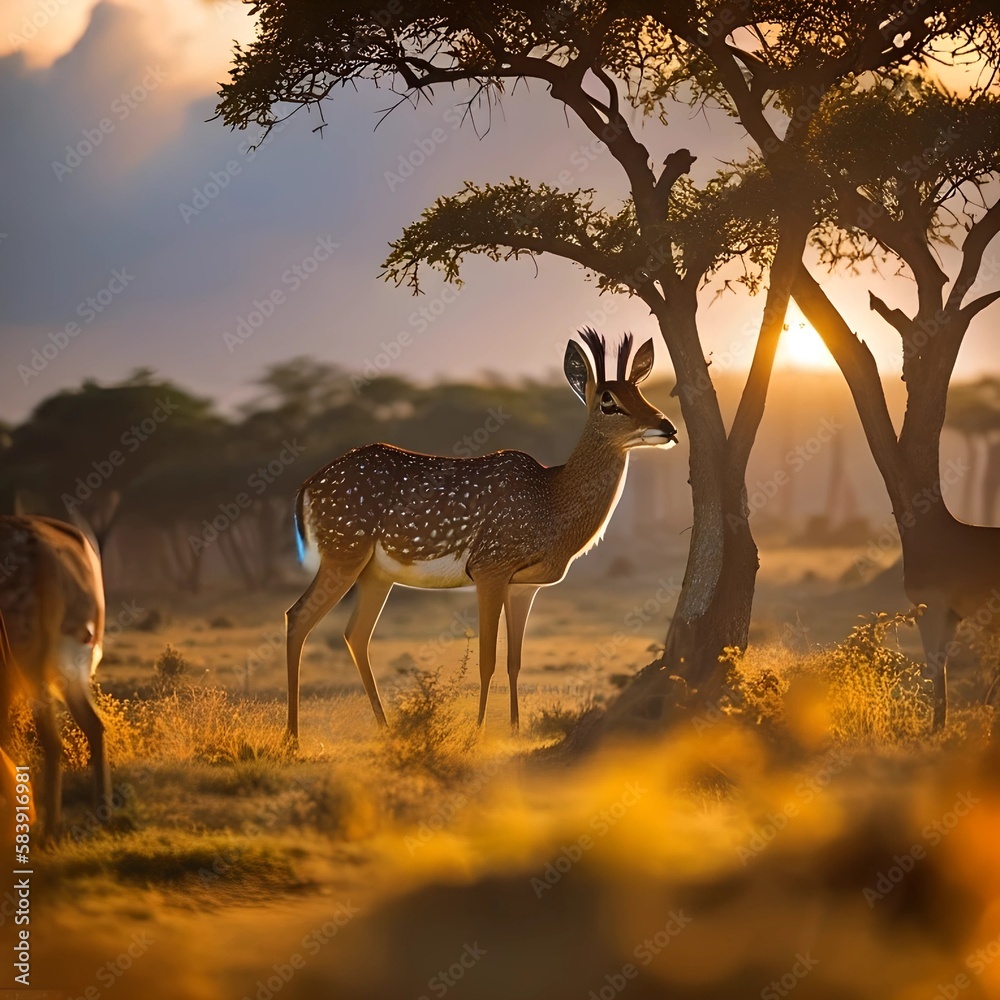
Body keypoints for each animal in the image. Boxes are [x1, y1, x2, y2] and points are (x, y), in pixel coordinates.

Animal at [0, 515, 110, 839]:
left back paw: (48, 826)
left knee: (50, 737)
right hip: (69, 657)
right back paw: (102, 815)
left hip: (29, 653)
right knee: (94, 725)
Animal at [285, 330, 679, 737]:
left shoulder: (524, 585)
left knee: (355, 634)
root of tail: (306, 487)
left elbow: (514, 660)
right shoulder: (490, 568)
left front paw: (515, 728)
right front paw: (477, 731)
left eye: (640, 392)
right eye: (608, 401)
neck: (552, 503)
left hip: (376, 574)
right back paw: (294, 736)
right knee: (297, 617)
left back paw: (385, 727)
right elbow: (486, 658)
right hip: (343, 553)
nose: (667, 427)